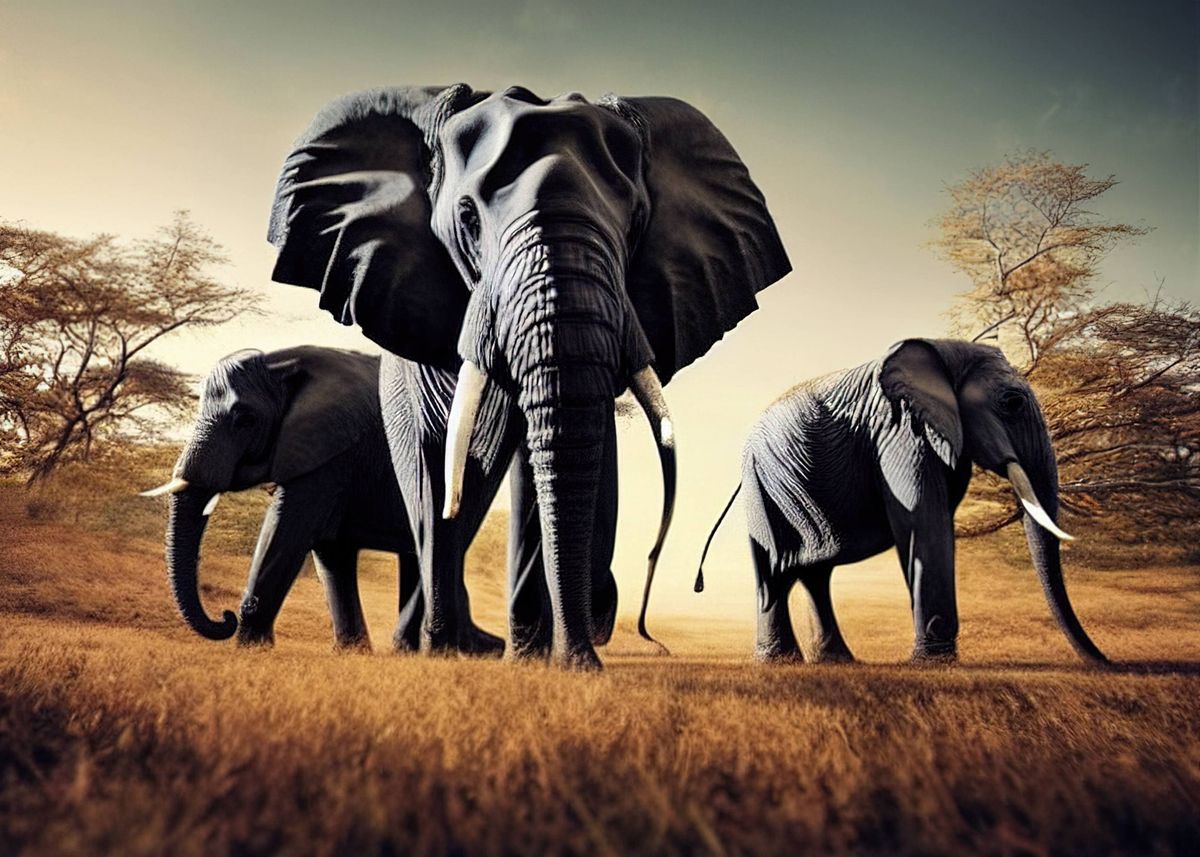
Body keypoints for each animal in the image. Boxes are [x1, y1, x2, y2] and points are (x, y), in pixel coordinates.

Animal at [140, 345, 503, 654]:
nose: (224, 617)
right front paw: (353, 654)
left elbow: (286, 534)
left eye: (245, 420)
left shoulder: (329, 452)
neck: (278, 363)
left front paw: (252, 650)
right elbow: (331, 552)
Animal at [266, 84, 791, 668]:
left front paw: (552, 661)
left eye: (636, 220)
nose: (589, 655)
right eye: (468, 219)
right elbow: (445, 462)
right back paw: (444, 646)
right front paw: (473, 655)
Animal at [693, 338, 1108, 665]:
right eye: (1012, 402)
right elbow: (924, 523)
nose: (1107, 662)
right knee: (774, 572)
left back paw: (836, 661)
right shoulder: (901, 432)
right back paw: (781, 662)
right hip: (762, 488)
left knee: (812, 571)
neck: (946, 351)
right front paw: (935, 663)